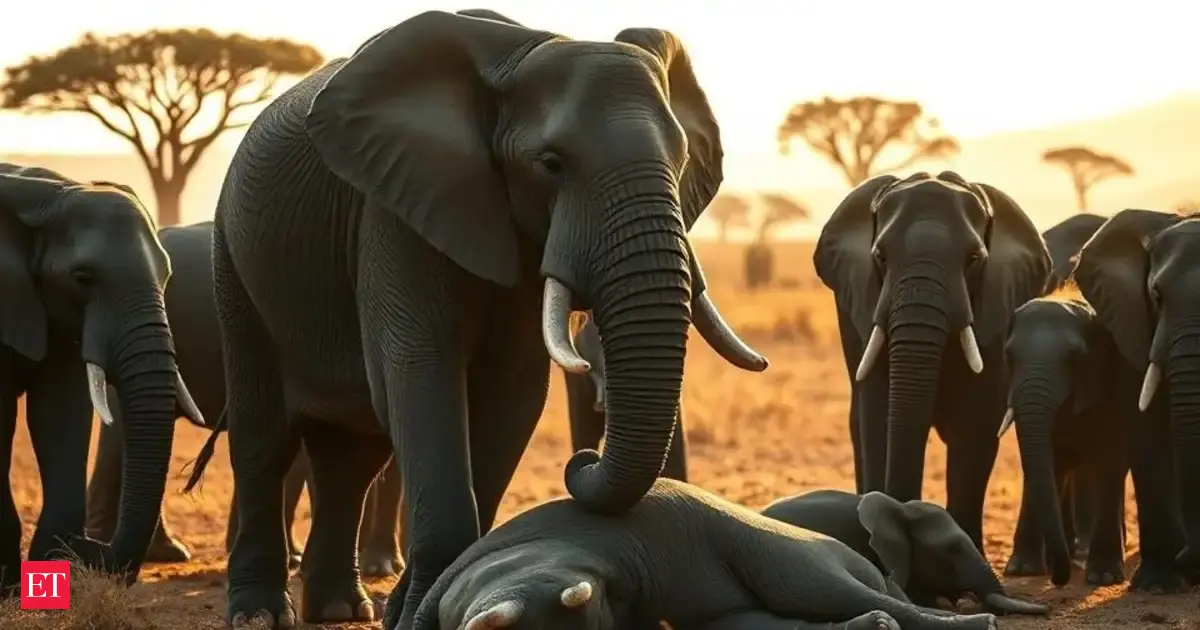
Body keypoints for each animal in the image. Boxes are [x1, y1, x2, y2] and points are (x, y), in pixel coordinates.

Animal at [0, 164, 205, 590]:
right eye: (82, 278)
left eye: (167, 276)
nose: (86, 546)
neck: (45, 191)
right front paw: (9, 582)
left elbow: (59, 415)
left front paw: (52, 567)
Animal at [997, 296, 1129, 586]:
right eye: (1009, 356)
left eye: (1076, 358)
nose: (1059, 579)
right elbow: (1046, 463)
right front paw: (1022, 570)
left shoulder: (1114, 384)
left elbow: (1111, 461)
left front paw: (1104, 577)